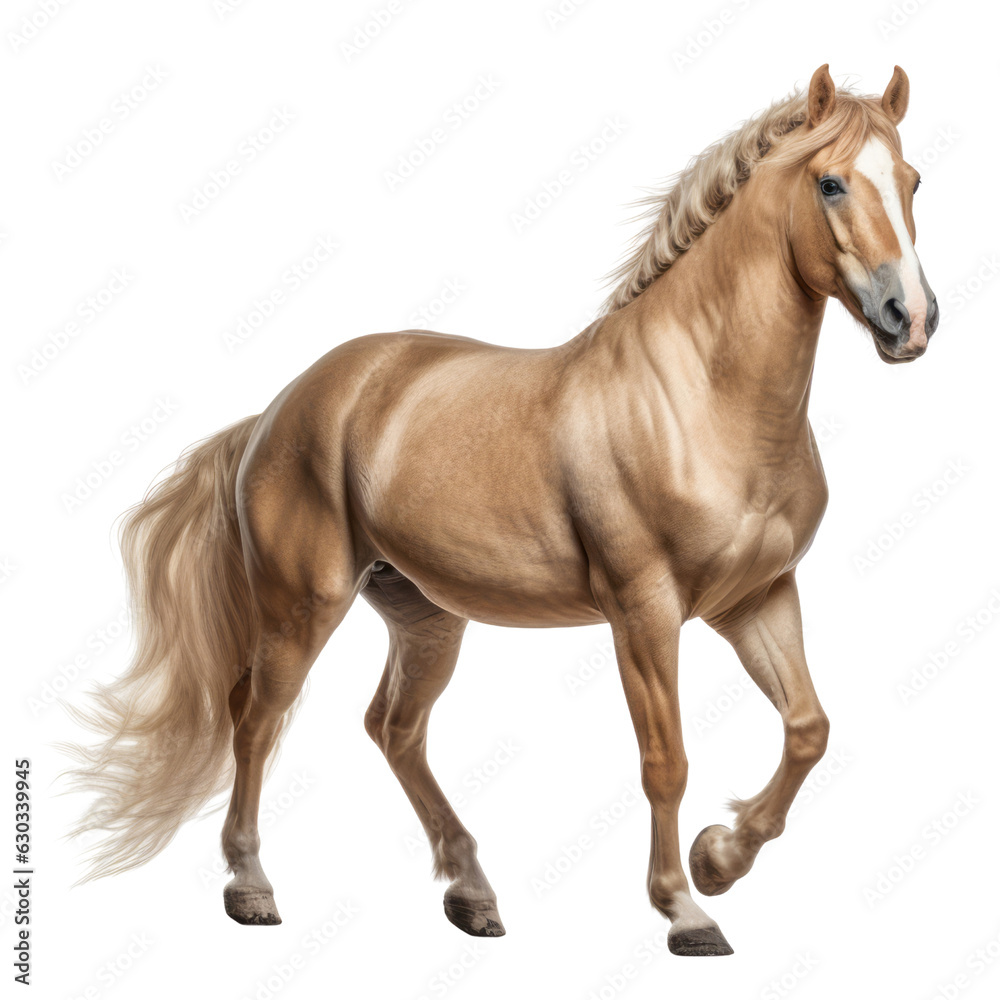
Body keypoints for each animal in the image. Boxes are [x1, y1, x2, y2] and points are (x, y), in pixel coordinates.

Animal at [66, 64, 937, 956]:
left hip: (425, 617)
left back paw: (473, 894)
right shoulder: (645, 612)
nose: (911, 320)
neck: (700, 397)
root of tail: (280, 408)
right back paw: (252, 887)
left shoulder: (757, 600)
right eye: (830, 182)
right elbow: (666, 761)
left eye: (911, 182)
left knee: (394, 728)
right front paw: (686, 910)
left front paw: (719, 858)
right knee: (255, 719)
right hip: (304, 605)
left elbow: (808, 729)